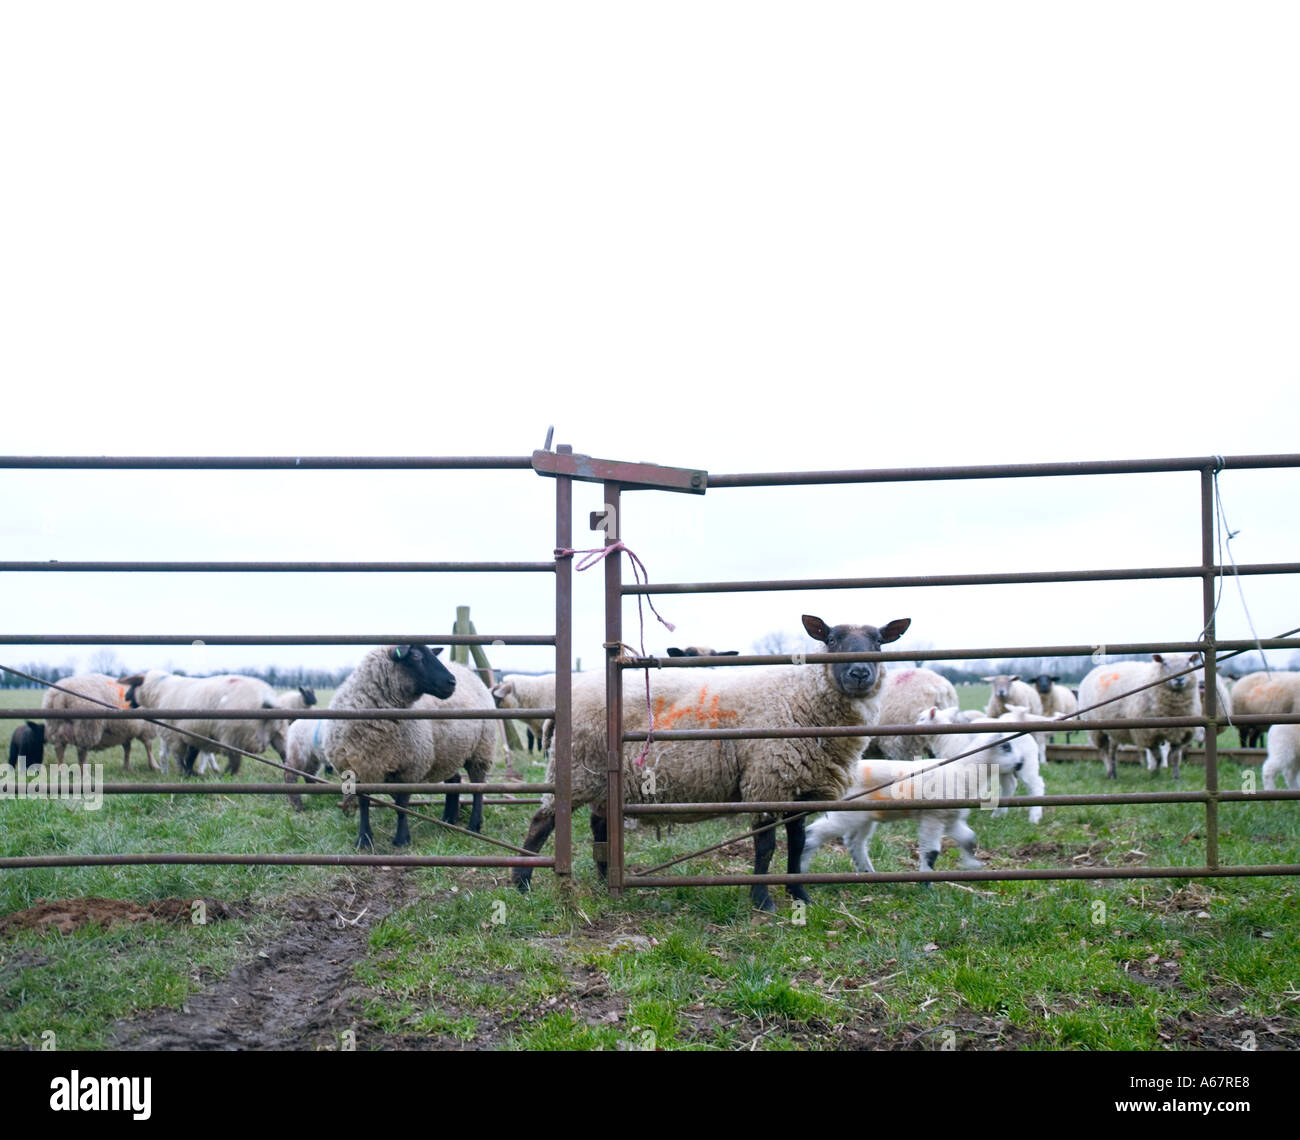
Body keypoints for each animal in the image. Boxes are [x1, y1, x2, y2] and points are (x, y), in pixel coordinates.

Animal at [118, 670, 287, 777]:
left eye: (133, 685)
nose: (125, 698)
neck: (161, 692)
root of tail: (265, 697)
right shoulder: (194, 733)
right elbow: (191, 756)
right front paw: (191, 773)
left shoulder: (175, 736)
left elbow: (179, 757)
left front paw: (186, 774)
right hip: (279, 733)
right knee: (286, 755)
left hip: (233, 734)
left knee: (234, 760)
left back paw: (226, 776)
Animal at [513, 613, 913, 912]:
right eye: (831, 639)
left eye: (878, 642)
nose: (860, 672)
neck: (800, 698)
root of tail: (569, 697)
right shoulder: (764, 781)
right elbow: (765, 846)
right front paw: (762, 899)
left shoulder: (797, 788)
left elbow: (797, 844)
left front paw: (798, 894)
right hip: (577, 767)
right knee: (541, 821)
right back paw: (521, 883)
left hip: (602, 777)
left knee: (599, 826)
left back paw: (601, 880)